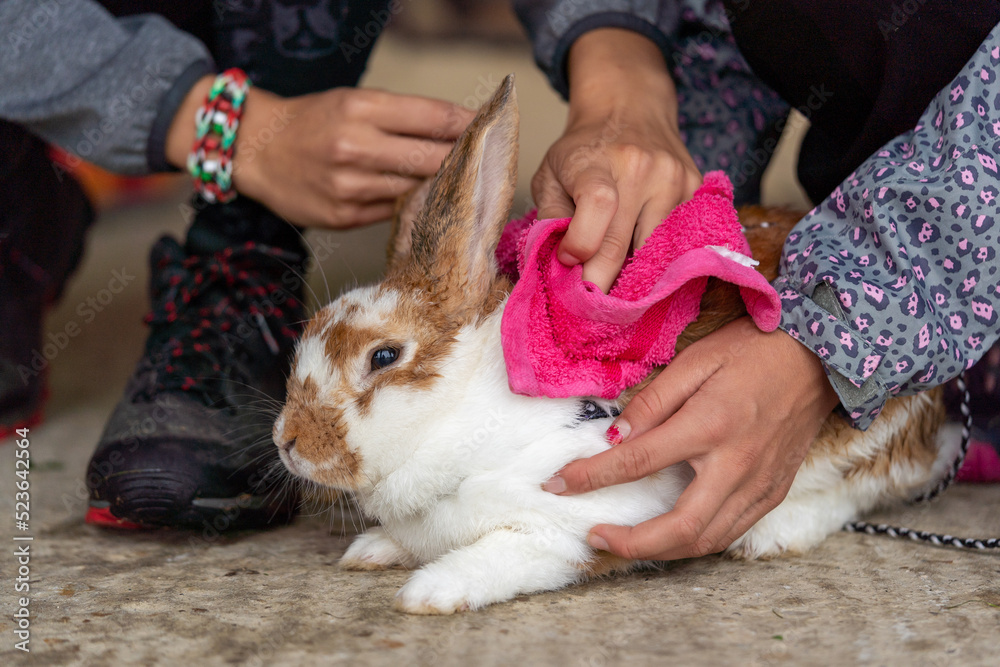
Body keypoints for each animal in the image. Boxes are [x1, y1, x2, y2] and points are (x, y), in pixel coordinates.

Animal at [272, 74, 953, 614]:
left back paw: (769, 534)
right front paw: (372, 550)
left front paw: (429, 594)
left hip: (864, 433)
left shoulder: (576, 523)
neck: (462, 417)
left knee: (859, 491)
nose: (287, 442)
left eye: (383, 357)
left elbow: (500, 556)